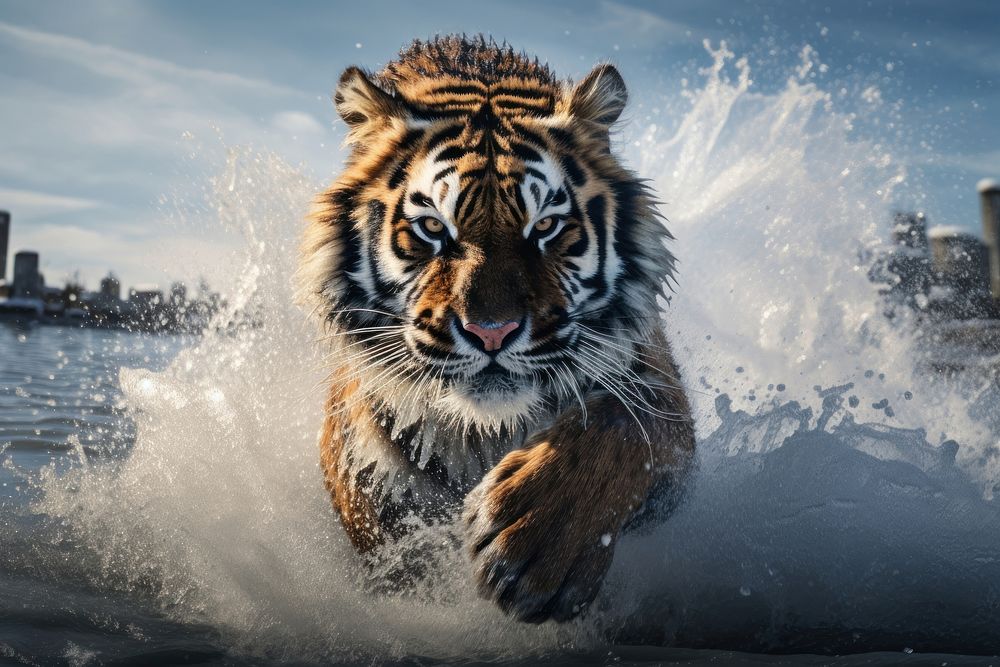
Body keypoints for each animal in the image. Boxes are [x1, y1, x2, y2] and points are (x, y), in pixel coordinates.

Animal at [298, 35, 695, 623]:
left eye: (546, 226)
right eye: (432, 227)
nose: (491, 332)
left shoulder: (657, 397)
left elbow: (622, 425)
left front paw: (532, 546)